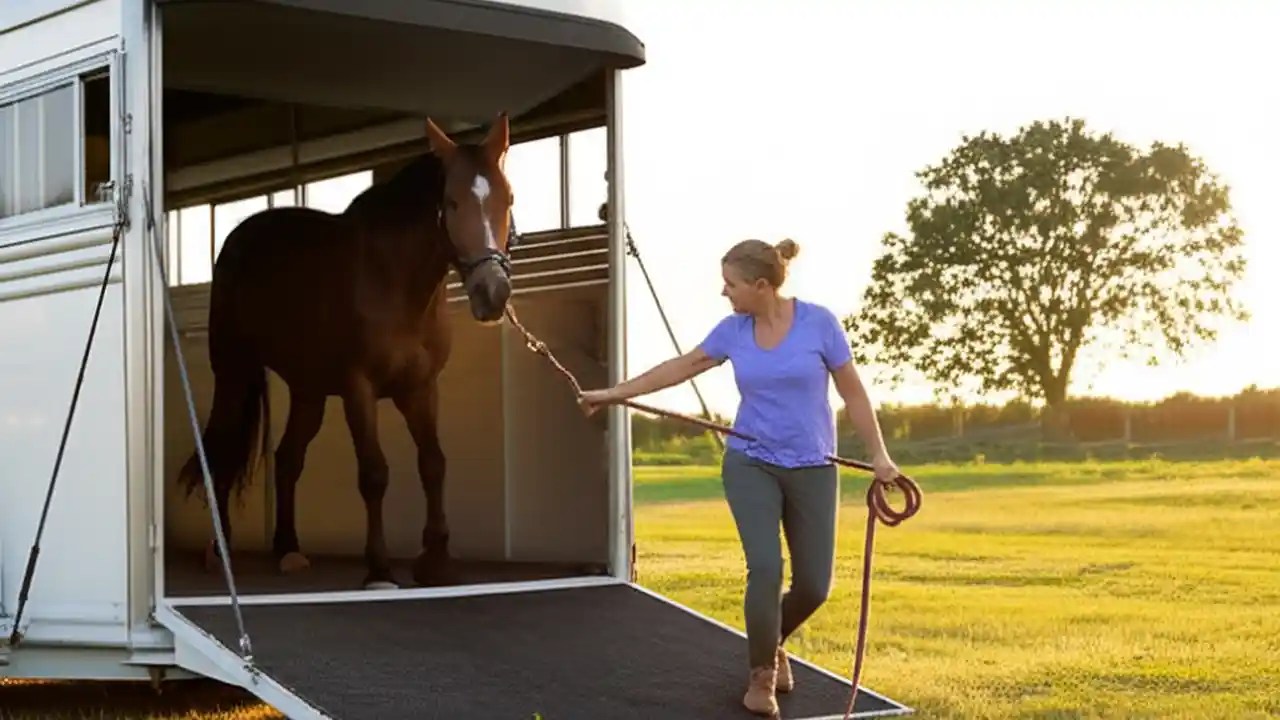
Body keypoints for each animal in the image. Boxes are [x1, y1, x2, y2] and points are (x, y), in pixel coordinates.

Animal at [177, 113, 516, 590]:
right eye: (450, 203)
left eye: (508, 199)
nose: (493, 294)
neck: (392, 280)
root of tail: (238, 239)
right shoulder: (360, 389)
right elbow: (374, 473)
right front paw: (380, 570)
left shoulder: (421, 389)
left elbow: (433, 463)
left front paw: (436, 560)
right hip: (233, 371)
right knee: (223, 447)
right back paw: (221, 548)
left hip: (308, 391)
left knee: (288, 459)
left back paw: (289, 549)